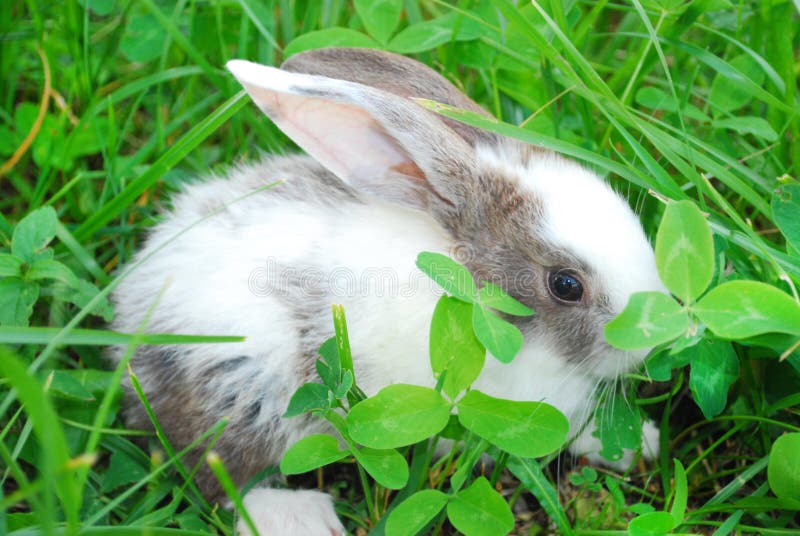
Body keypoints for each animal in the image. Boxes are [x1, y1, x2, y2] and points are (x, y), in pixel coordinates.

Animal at [110, 48, 665, 536]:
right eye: (565, 285)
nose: (651, 343)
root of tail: (131, 316)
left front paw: (639, 443)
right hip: (242, 387)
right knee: (224, 471)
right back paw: (295, 518)